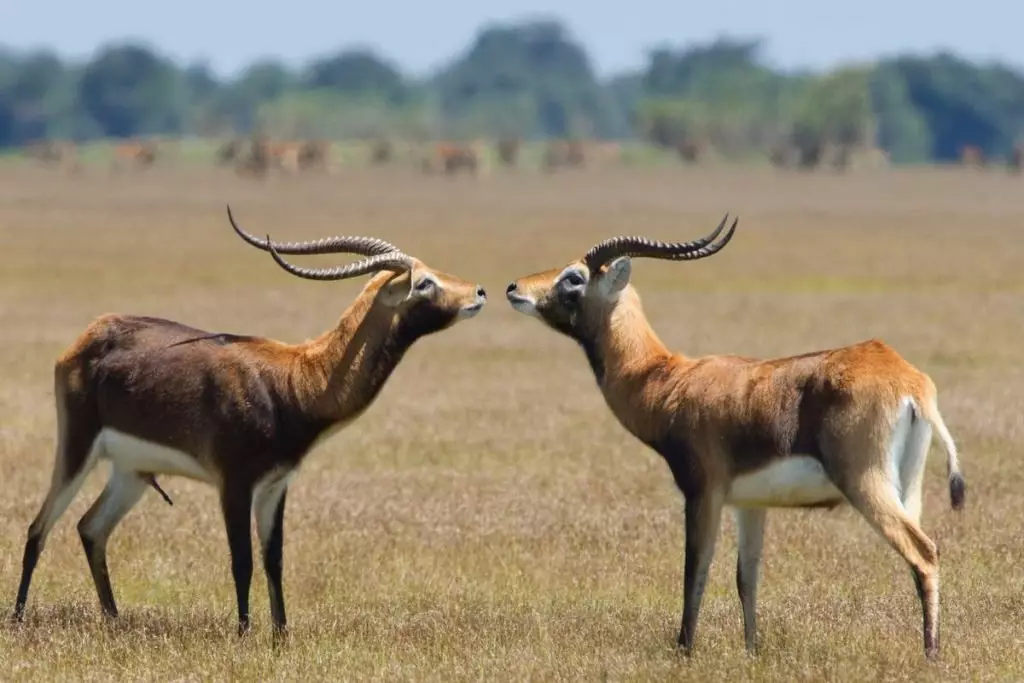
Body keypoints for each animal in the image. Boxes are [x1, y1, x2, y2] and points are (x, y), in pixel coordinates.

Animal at [12, 206, 487, 634]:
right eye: (423, 282)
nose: (480, 292)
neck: (296, 380)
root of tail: (90, 334)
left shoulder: (276, 485)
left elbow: (273, 560)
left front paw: (280, 637)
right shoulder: (234, 484)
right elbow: (241, 562)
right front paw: (243, 634)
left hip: (131, 473)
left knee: (91, 529)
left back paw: (114, 622)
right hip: (76, 450)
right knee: (39, 528)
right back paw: (18, 621)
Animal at [505, 216, 966, 659]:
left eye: (574, 277)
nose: (513, 288)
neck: (667, 380)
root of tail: (908, 380)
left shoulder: (702, 492)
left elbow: (696, 570)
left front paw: (684, 651)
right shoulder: (750, 503)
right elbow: (747, 578)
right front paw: (751, 651)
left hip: (865, 484)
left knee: (924, 553)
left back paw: (931, 655)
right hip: (908, 487)